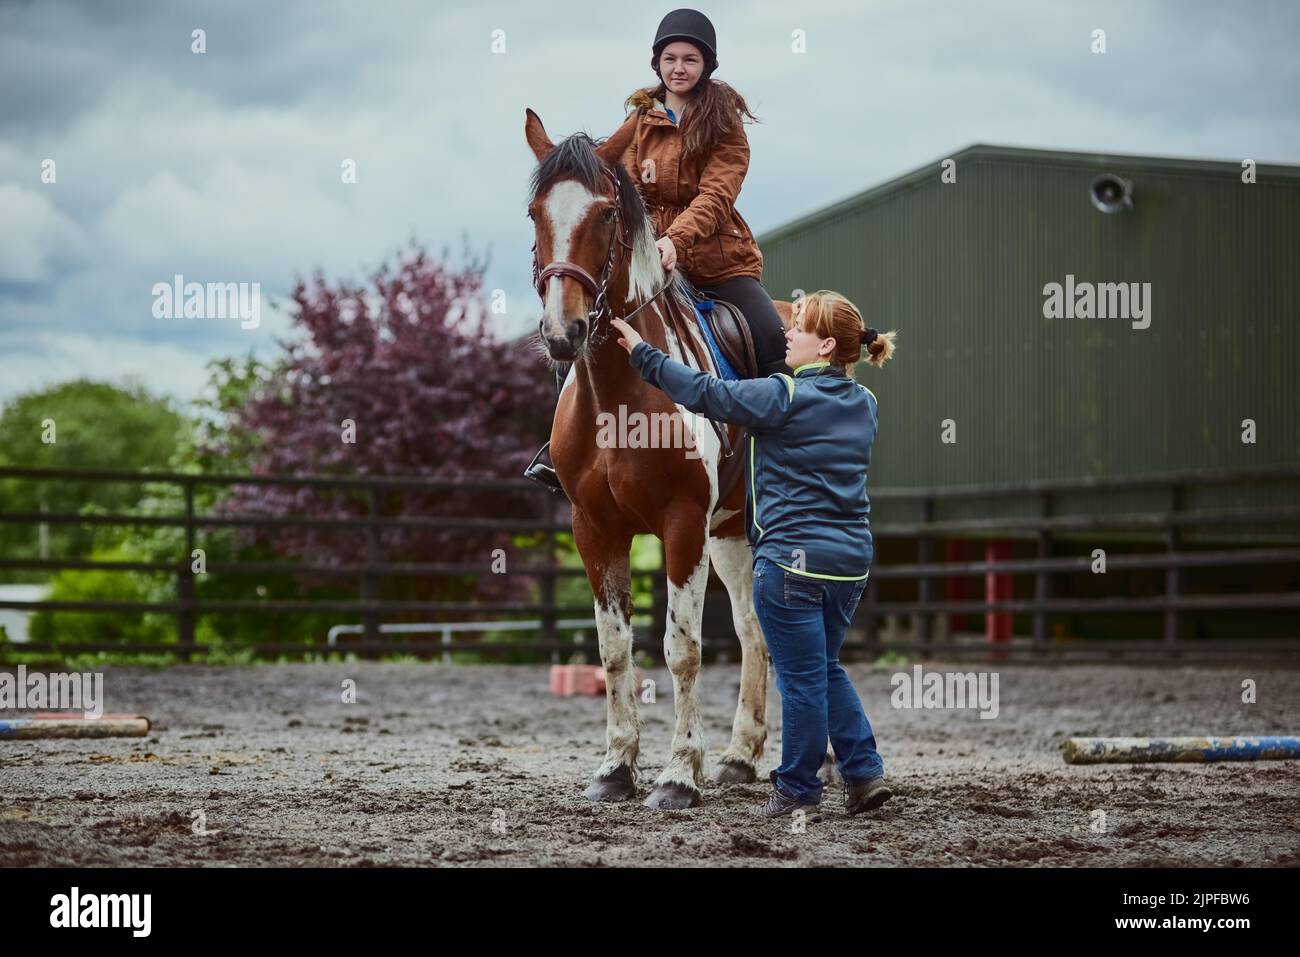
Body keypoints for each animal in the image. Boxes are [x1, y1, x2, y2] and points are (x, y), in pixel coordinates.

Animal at [525, 107, 790, 809]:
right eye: (535, 212)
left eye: (605, 215)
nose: (562, 334)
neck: (621, 394)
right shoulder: (595, 528)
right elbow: (615, 648)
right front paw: (616, 767)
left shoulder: (680, 524)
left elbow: (682, 650)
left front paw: (677, 775)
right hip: (731, 535)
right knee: (754, 633)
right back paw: (740, 758)